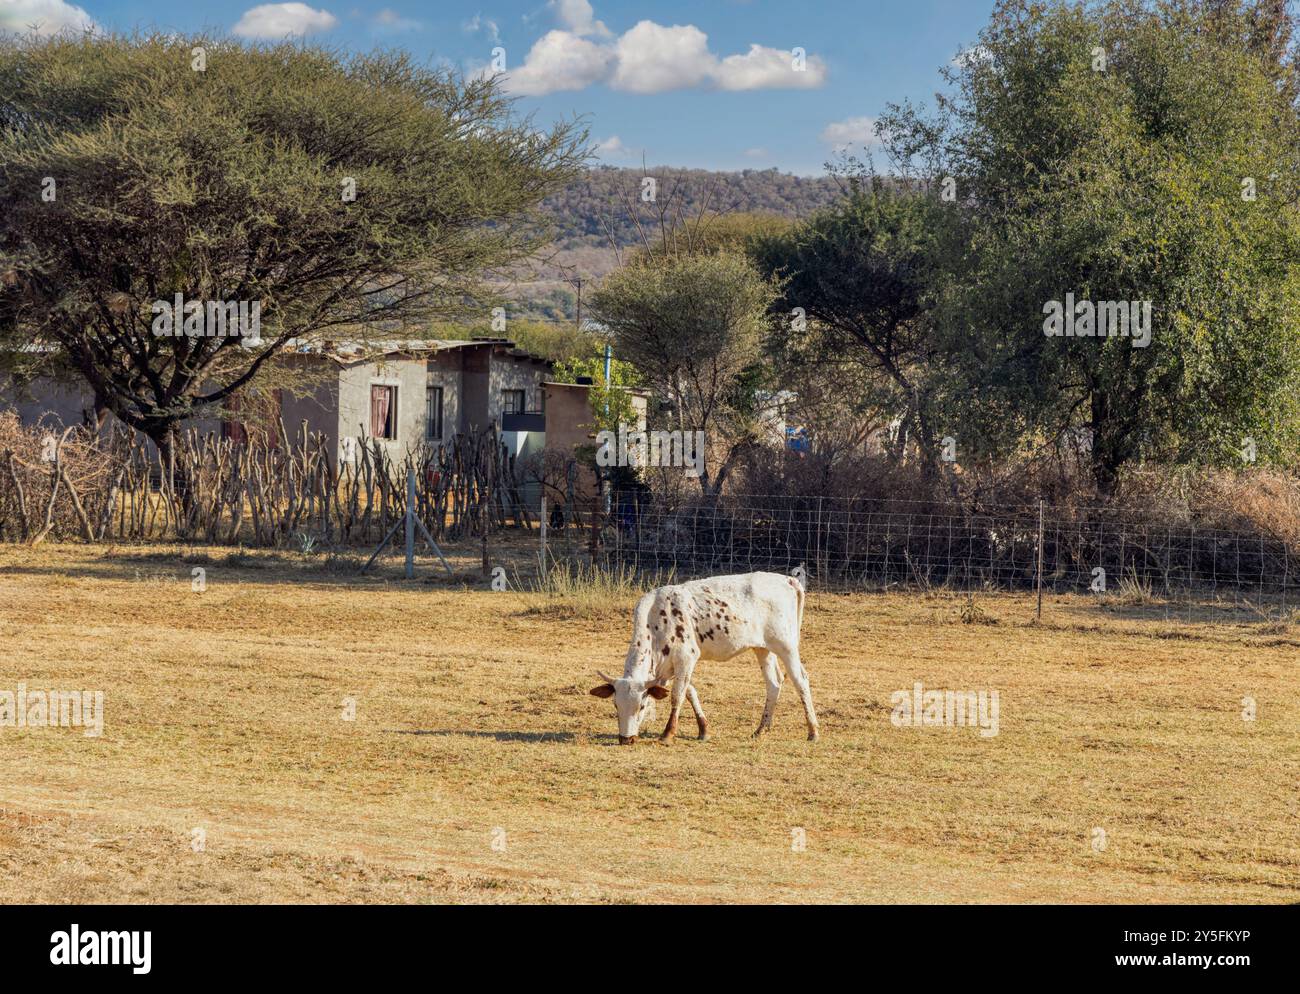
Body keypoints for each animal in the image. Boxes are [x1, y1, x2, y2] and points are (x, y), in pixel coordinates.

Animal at [589, 572, 819, 745]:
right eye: (616, 705)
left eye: (642, 706)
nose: (626, 739)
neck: (656, 620)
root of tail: (787, 580)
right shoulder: (672, 667)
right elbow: (690, 692)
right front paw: (703, 730)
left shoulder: (686, 658)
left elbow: (678, 695)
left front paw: (667, 734)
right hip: (763, 649)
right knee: (773, 684)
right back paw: (761, 729)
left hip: (786, 646)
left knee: (801, 680)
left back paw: (813, 731)